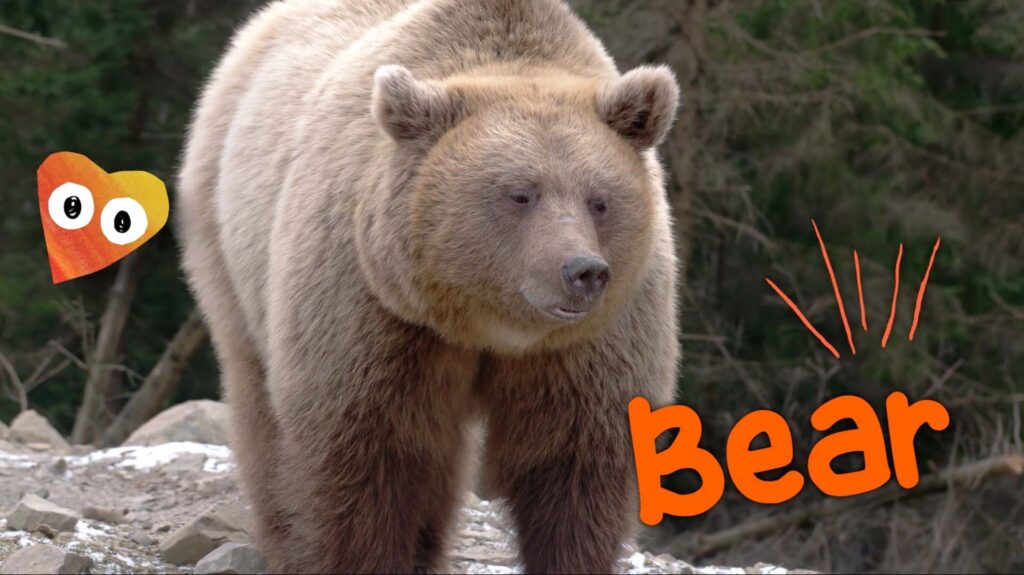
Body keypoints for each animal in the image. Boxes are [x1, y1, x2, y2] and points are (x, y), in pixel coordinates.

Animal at [176, 0, 680, 572]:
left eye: (600, 199)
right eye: (520, 193)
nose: (582, 271)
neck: (484, 322)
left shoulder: (595, 338)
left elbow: (572, 462)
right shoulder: (370, 304)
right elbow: (366, 447)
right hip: (228, 240)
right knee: (260, 402)